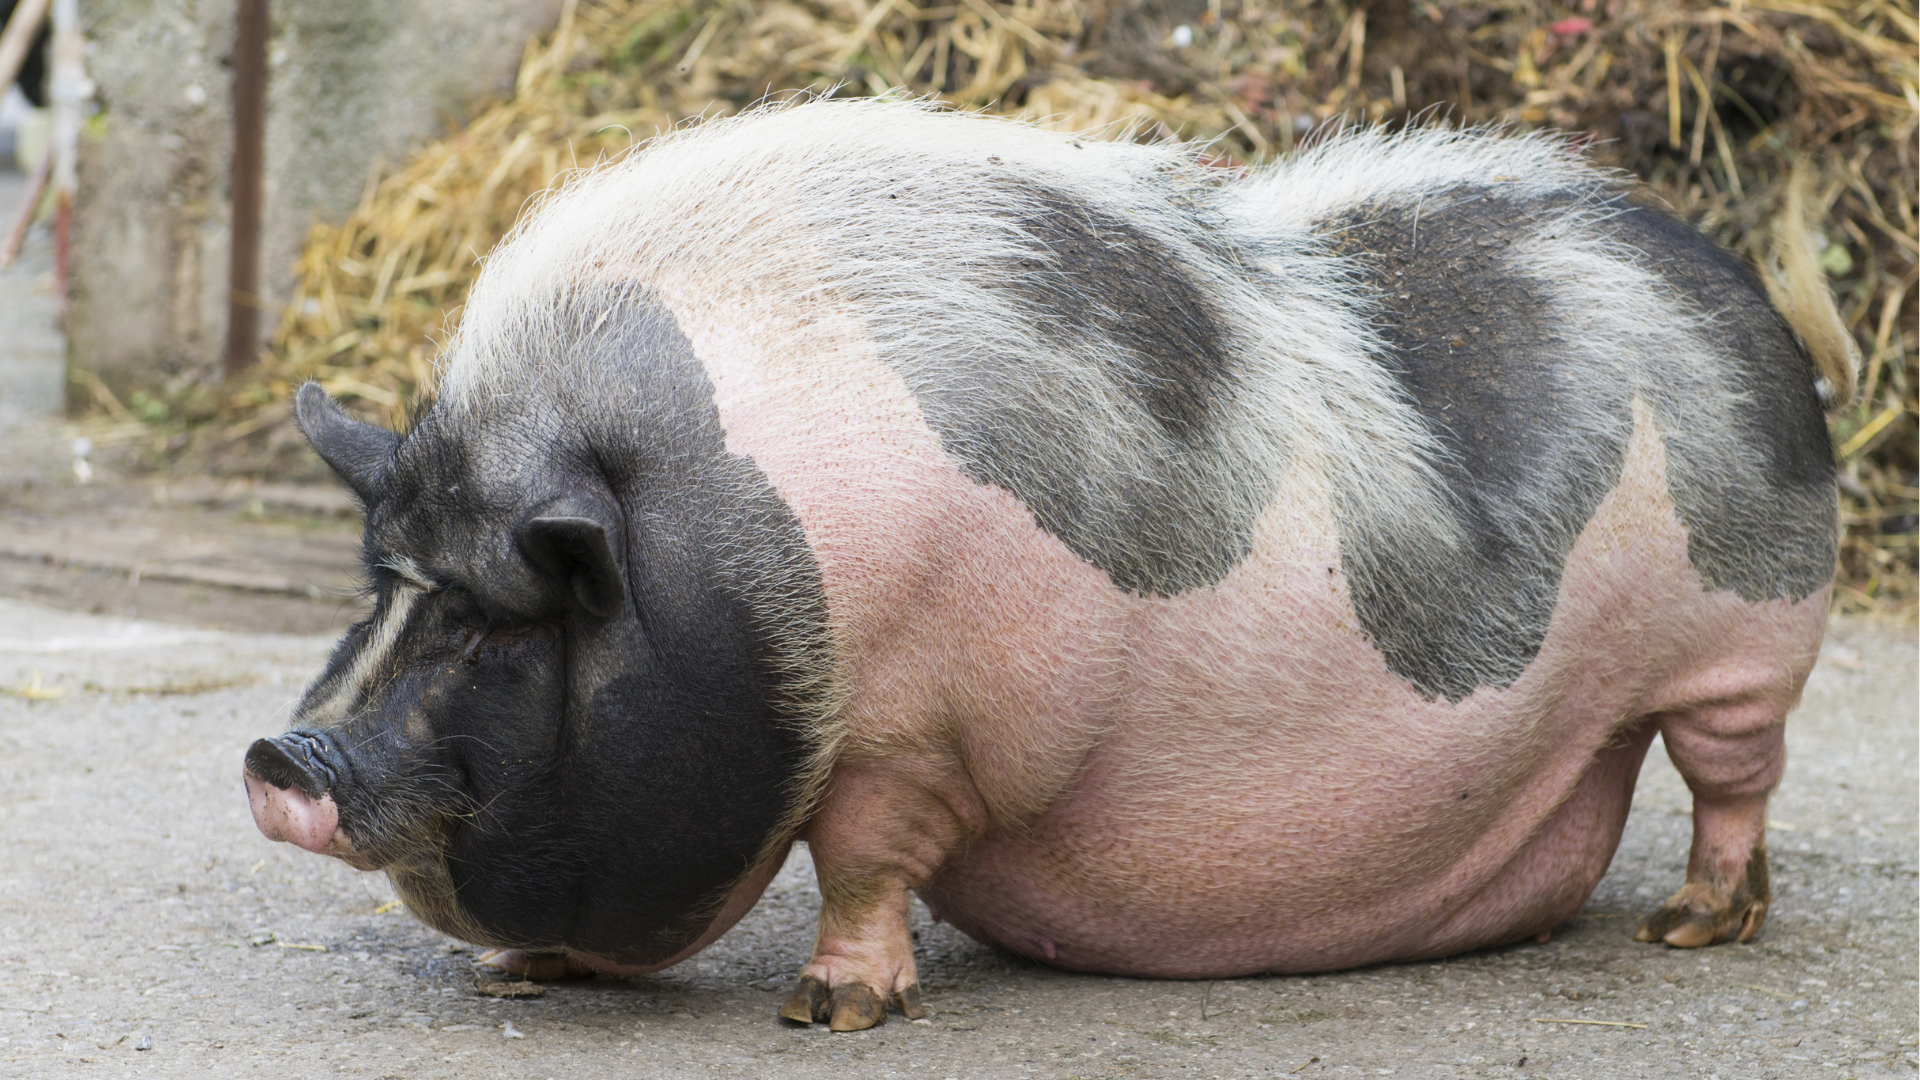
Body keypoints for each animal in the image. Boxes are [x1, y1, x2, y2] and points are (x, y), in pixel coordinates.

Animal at [245, 99, 1853, 1032]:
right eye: (383, 580)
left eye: (500, 623)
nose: (278, 756)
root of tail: (1719, 273)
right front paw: (513, 971)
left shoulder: (915, 726)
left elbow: (862, 856)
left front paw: (829, 1012)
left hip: (1748, 644)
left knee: (1735, 781)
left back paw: (1692, 927)